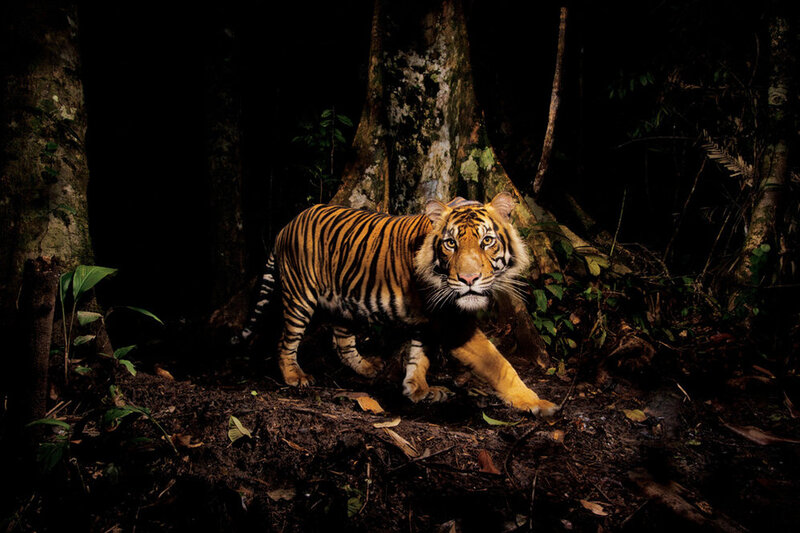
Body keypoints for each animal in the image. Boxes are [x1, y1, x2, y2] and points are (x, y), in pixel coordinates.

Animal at [240, 192, 557, 416]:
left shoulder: (429, 320)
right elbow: (499, 364)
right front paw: (536, 402)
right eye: (450, 244)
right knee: (285, 340)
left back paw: (367, 368)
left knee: (342, 342)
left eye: (487, 241)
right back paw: (295, 376)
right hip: (300, 296)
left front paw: (418, 390)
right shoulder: (451, 323)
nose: (468, 279)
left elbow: (419, 357)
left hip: (344, 303)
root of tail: (286, 226)